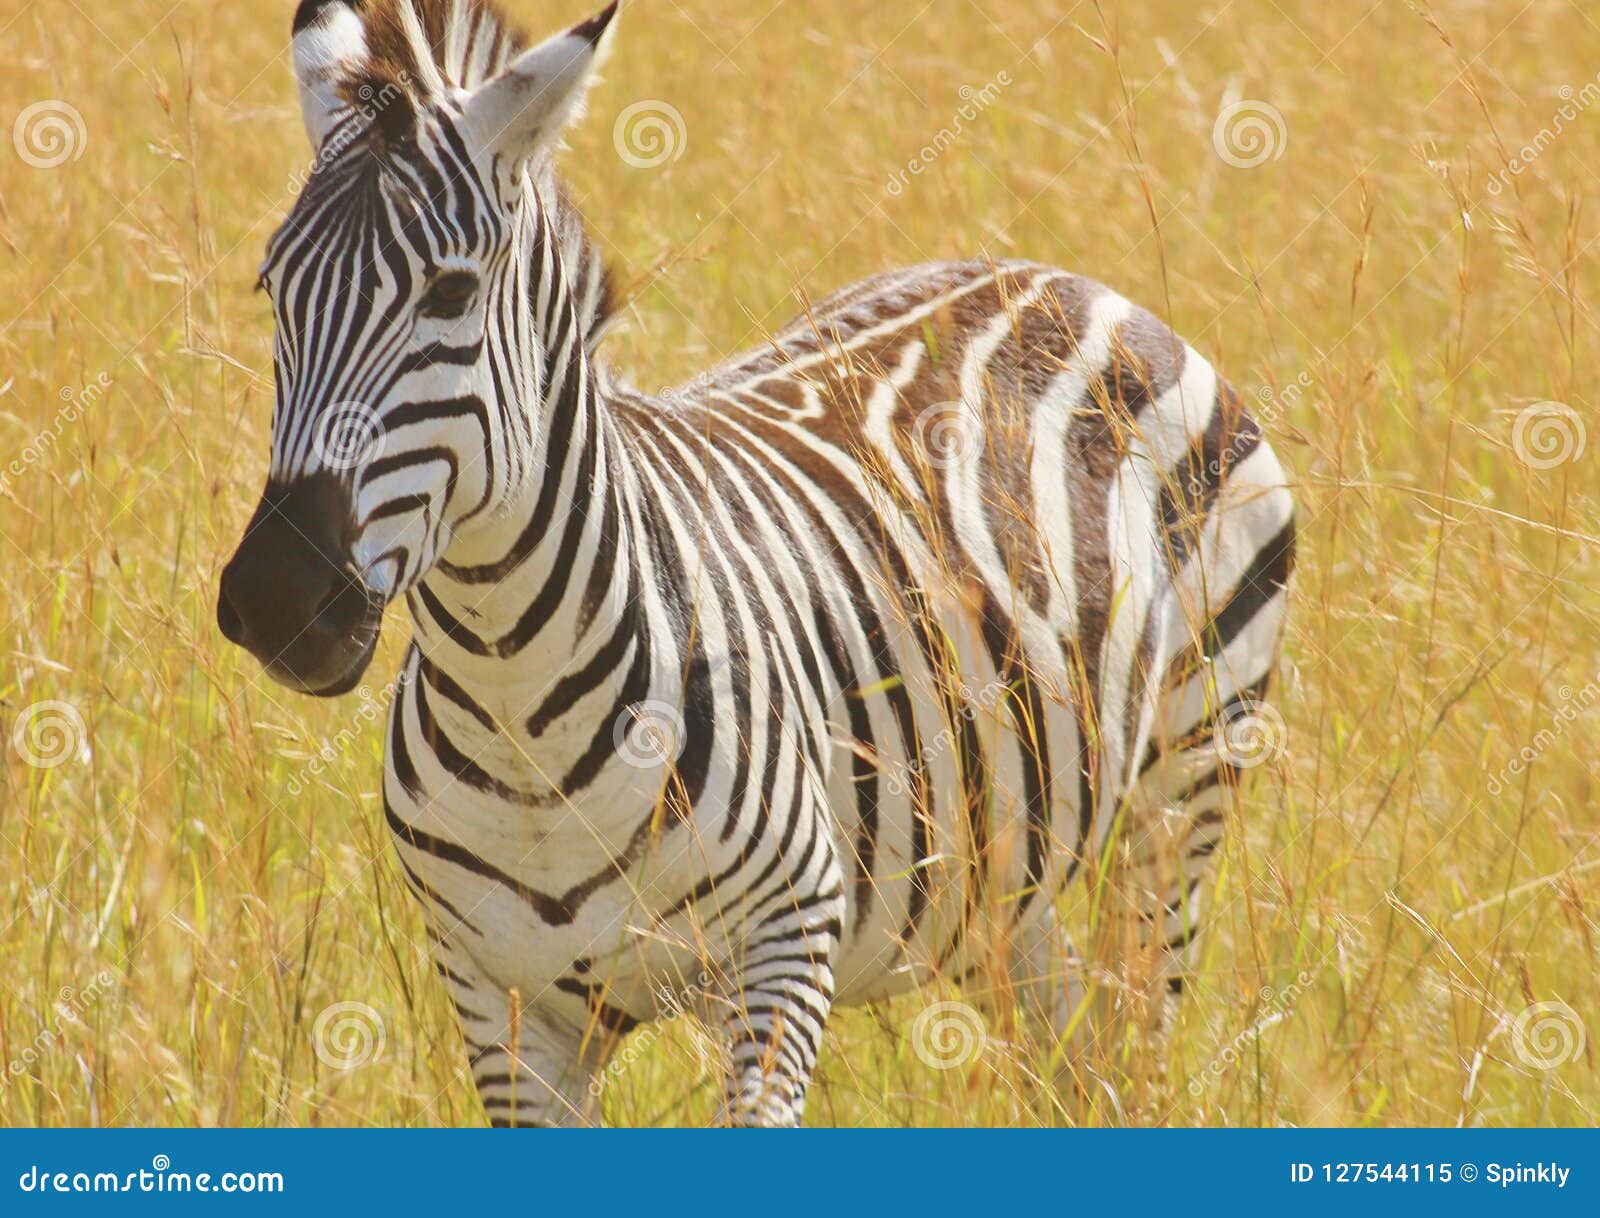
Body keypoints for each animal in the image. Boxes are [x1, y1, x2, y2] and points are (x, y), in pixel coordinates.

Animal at [217, 0, 1296, 1127]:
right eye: (271, 288)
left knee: (1142, 1039)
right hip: (996, 874)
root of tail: (1061, 279)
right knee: (1080, 1063)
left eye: (452, 292)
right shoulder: (500, 1006)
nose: (277, 598)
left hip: (1187, 778)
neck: (519, 717)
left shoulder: (783, 957)